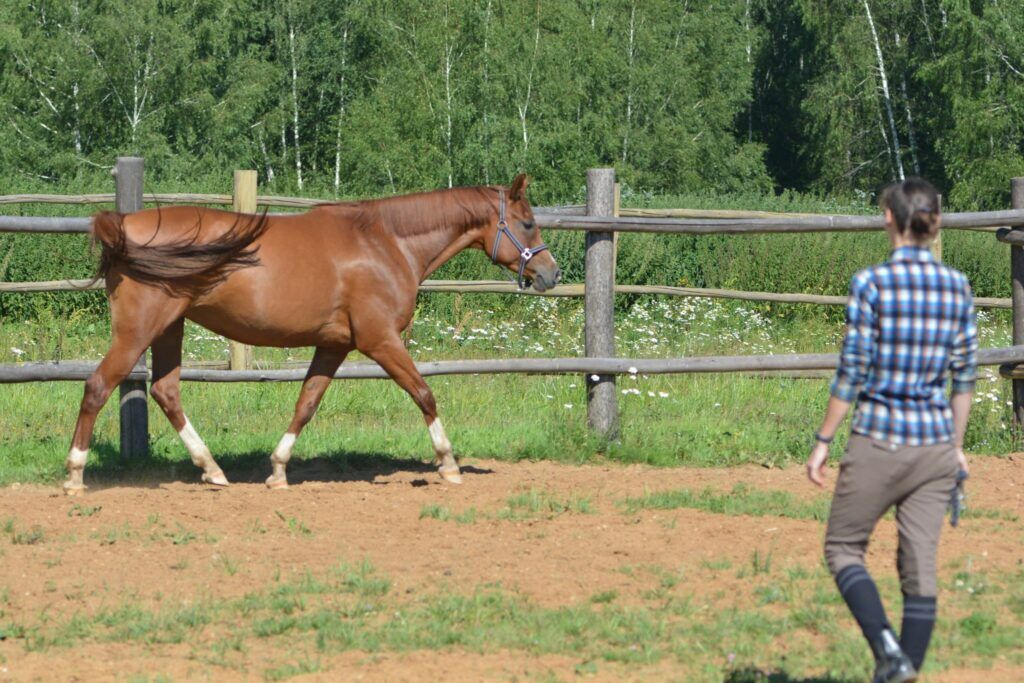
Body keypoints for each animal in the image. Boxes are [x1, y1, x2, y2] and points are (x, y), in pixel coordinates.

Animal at [64, 174, 560, 495]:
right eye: (528, 222)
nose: (551, 274)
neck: (387, 242)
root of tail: (123, 225)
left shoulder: (333, 345)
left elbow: (306, 403)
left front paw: (278, 471)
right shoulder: (381, 340)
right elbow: (424, 393)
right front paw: (449, 464)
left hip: (170, 327)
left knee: (166, 392)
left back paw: (213, 470)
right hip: (139, 329)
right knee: (98, 386)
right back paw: (74, 475)